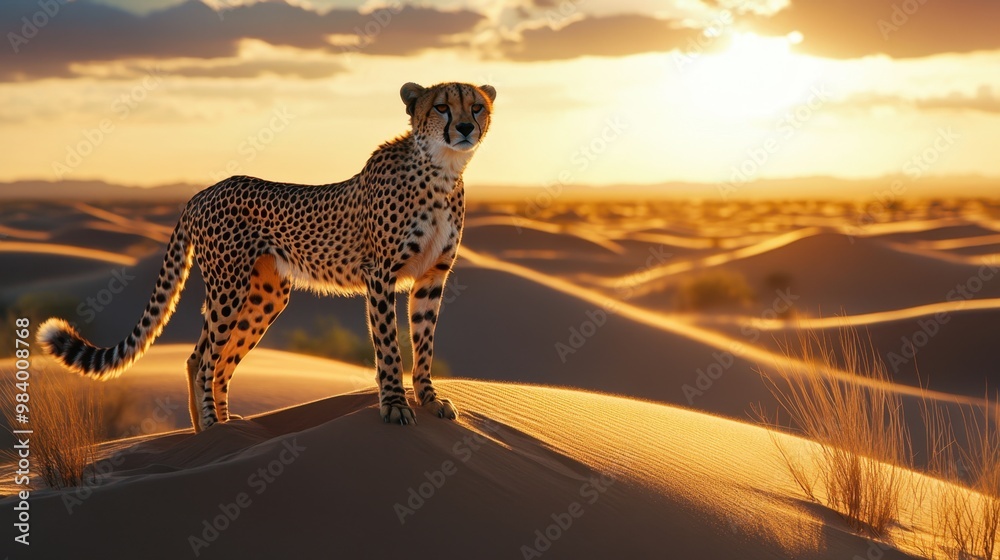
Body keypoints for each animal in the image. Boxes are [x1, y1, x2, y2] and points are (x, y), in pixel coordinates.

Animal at [37, 81, 496, 432]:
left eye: (476, 106)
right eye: (441, 107)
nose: (465, 127)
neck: (442, 169)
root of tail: (204, 191)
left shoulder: (432, 276)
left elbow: (424, 342)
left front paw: (429, 399)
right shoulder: (380, 274)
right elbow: (388, 345)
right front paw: (395, 406)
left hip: (264, 296)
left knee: (209, 357)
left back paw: (217, 430)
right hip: (228, 288)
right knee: (205, 358)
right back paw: (212, 427)